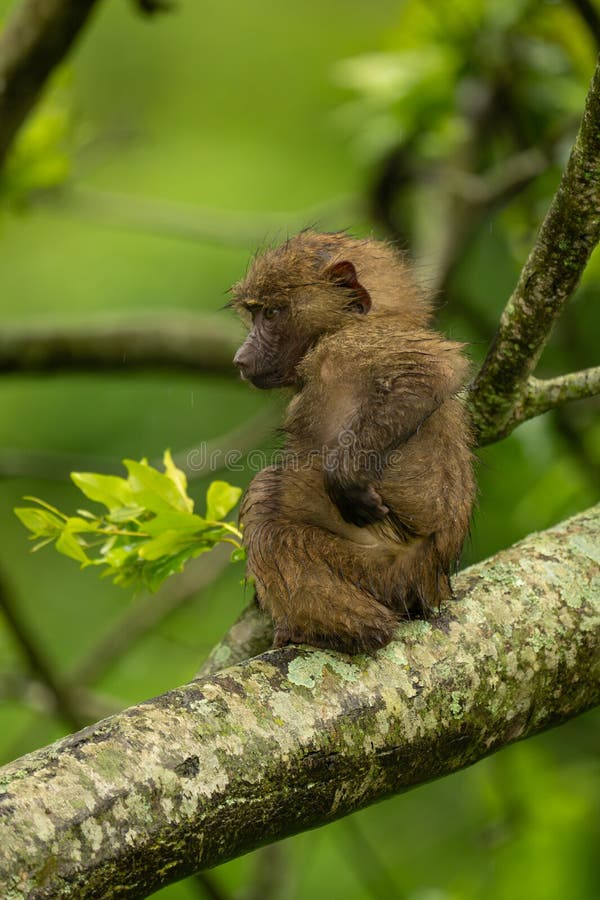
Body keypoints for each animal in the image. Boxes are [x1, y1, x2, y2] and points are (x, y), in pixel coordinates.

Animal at [231, 230, 475, 654]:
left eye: (273, 314)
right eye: (256, 314)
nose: (241, 359)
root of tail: (432, 578)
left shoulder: (353, 345)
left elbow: (430, 371)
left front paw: (346, 478)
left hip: (379, 563)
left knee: (268, 498)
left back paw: (352, 629)